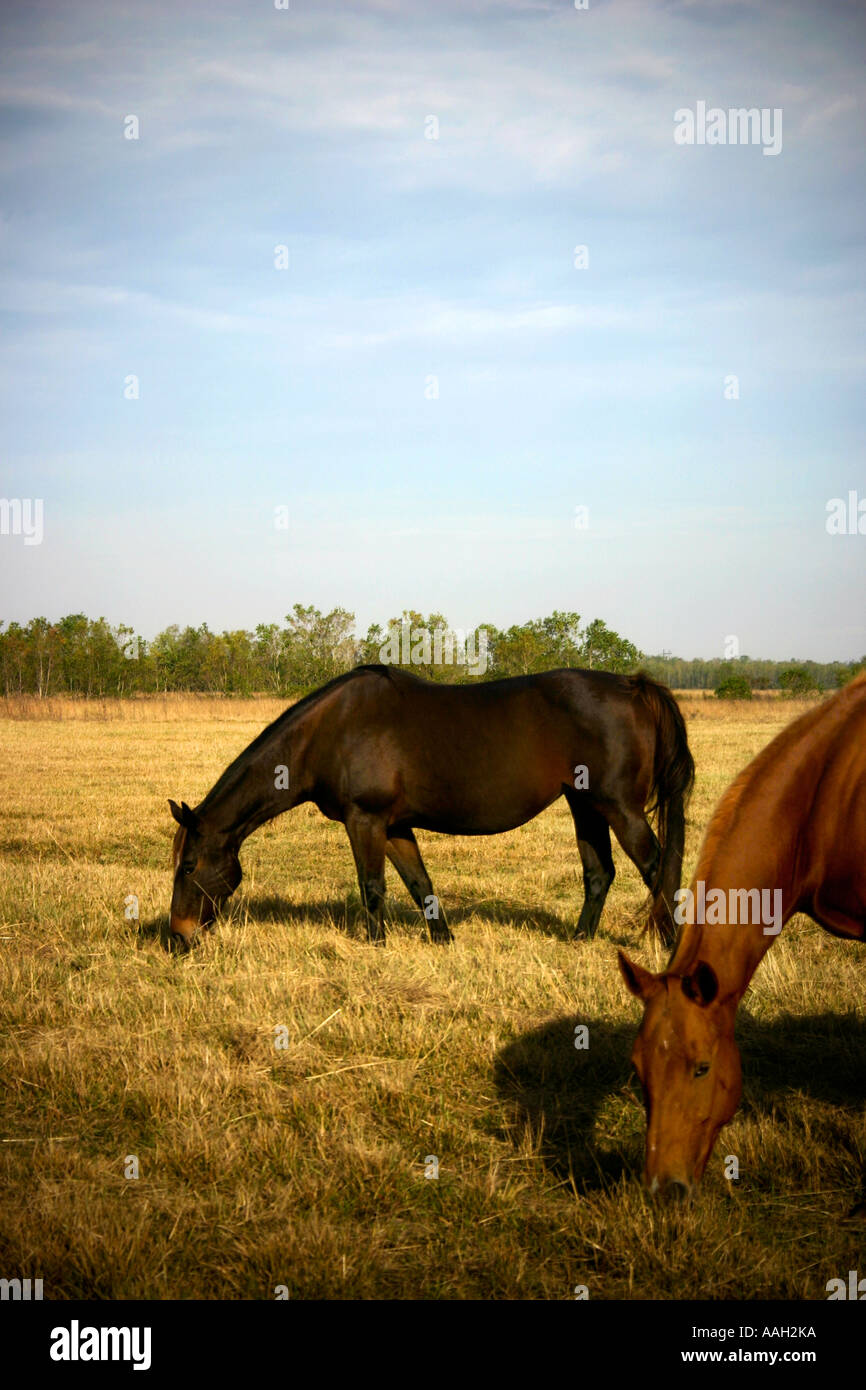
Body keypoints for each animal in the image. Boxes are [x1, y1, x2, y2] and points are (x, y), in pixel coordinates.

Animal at [167, 663, 693, 950]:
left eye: (188, 865)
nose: (177, 937)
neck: (331, 731)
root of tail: (633, 686)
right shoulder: (395, 827)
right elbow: (420, 883)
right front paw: (443, 940)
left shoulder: (365, 821)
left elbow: (373, 887)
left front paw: (376, 945)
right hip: (585, 804)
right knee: (600, 872)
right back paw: (581, 939)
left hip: (618, 807)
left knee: (657, 868)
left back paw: (670, 948)